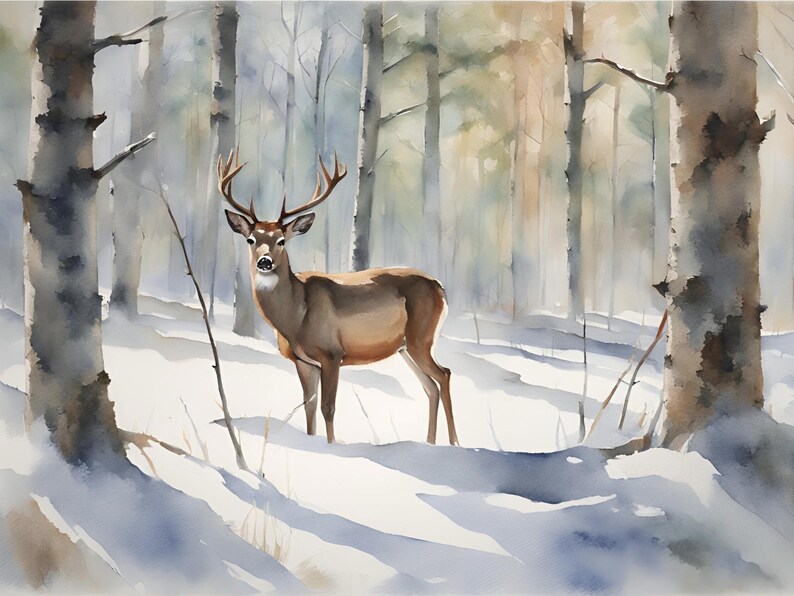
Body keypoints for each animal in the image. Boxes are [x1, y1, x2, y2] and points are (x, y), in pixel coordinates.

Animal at [218, 150, 459, 446]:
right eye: (251, 239)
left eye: (282, 240)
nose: (265, 262)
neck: (296, 315)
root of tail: (440, 287)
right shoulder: (303, 361)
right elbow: (309, 406)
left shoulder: (332, 354)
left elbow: (328, 407)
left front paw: (331, 446)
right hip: (405, 347)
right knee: (430, 386)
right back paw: (430, 442)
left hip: (421, 338)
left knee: (444, 375)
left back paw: (454, 442)